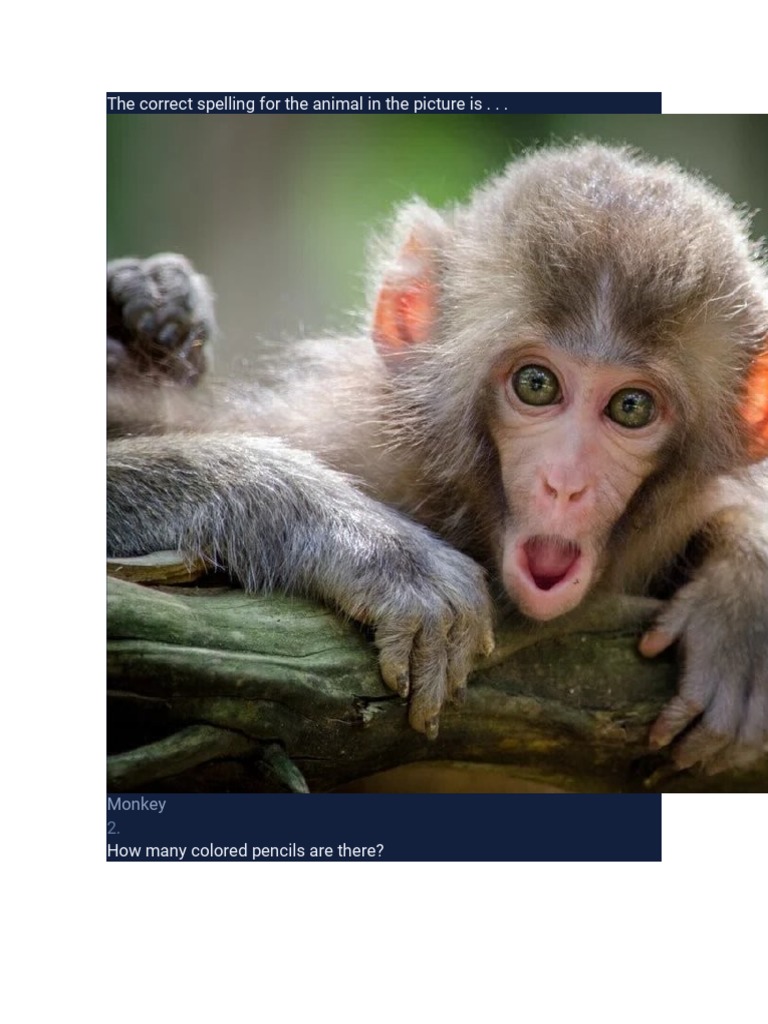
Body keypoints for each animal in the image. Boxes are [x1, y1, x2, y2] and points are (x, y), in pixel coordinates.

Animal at [107, 142, 768, 776]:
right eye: (536, 385)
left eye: (631, 407)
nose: (565, 482)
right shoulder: (346, 436)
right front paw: (376, 551)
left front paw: (742, 593)